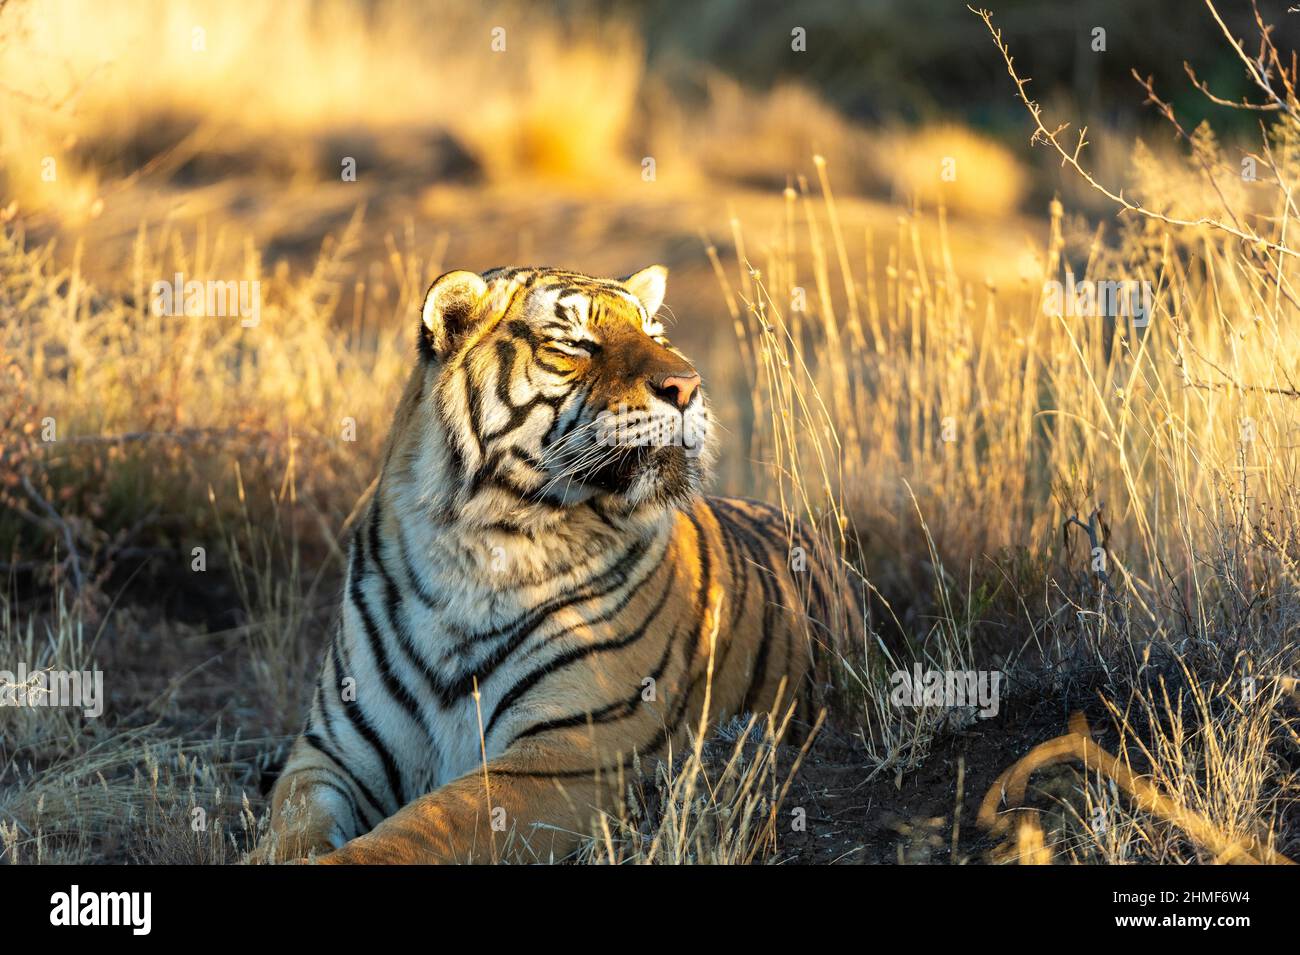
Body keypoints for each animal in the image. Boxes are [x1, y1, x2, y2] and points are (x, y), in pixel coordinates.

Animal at [250, 264, 853, 864]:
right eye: (575, 344)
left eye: (655, 334)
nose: (688, 386)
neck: (467, 554)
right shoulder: (332, 752)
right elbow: (291, 824)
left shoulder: (571, 752)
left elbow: (422, 827)